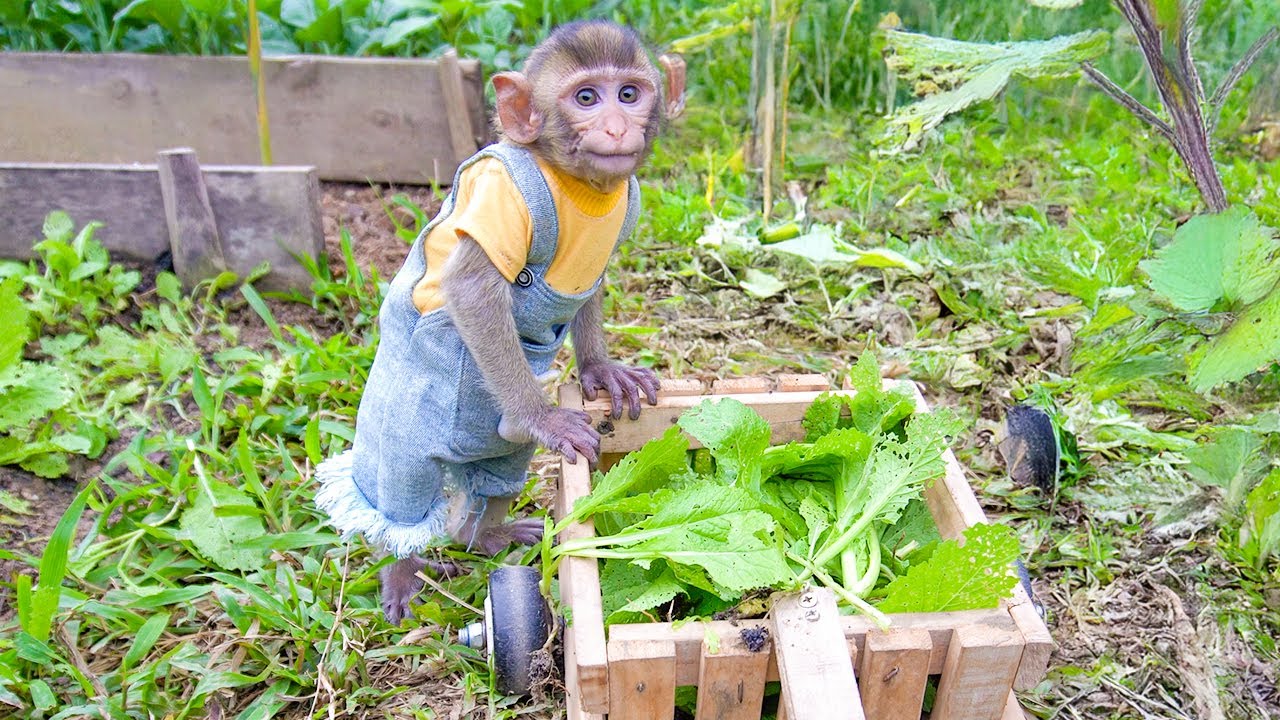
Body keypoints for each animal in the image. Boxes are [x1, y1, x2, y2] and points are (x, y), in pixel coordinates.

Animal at [315, 20, 686, 624]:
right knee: (401, 492)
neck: (575, 183)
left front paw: (600, 370)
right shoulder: (499, 198)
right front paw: (543, 417)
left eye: (629, 94)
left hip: (486, 444)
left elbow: (593, 283)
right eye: (587, 98)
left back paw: (485, 536)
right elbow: (471, 290)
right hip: (403, 416)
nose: (615, 125)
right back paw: (402, 567)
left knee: (500, 469)